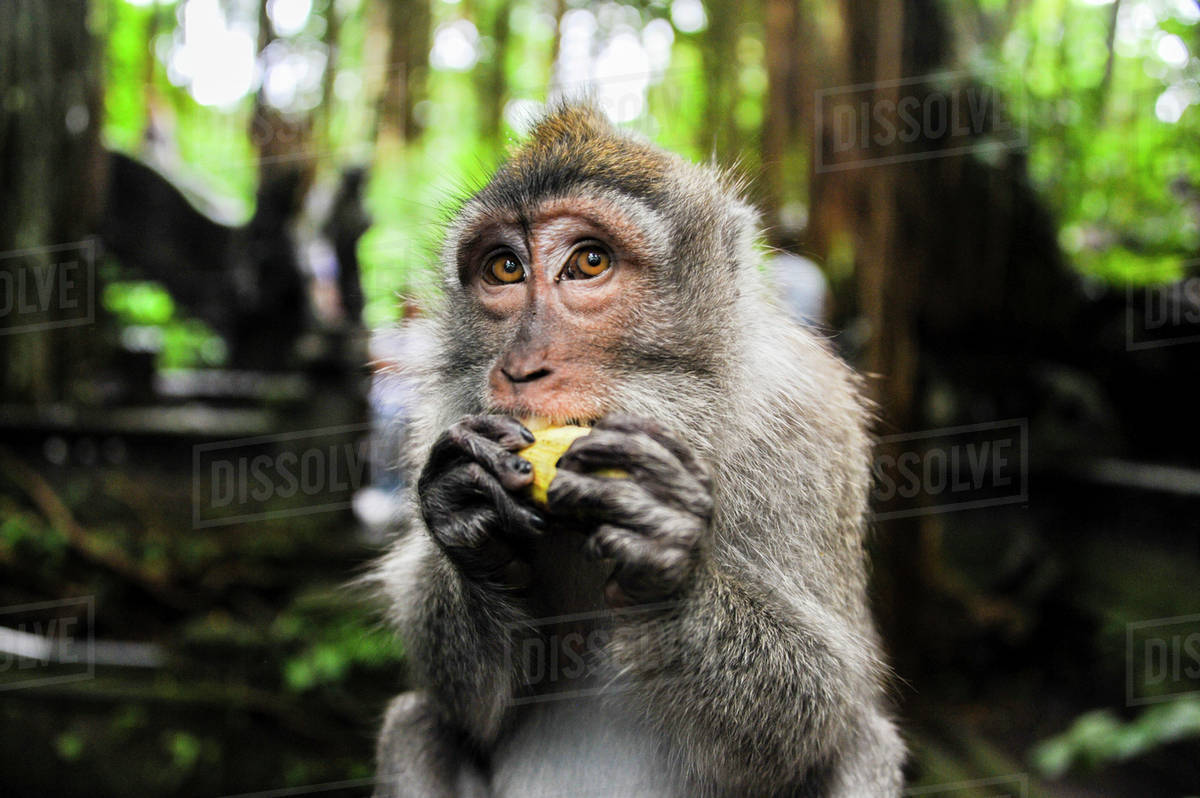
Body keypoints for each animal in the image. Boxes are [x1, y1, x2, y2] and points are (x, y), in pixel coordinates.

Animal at [371, 103, 904, 797]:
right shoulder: (440, 419)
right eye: (504, 269)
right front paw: (468, 520)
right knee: (417, 722)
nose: (520, 369)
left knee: (861, 744)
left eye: (589, 262)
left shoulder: (809, 426)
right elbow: (466, 706)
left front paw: (666, 567)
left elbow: (824, 701)